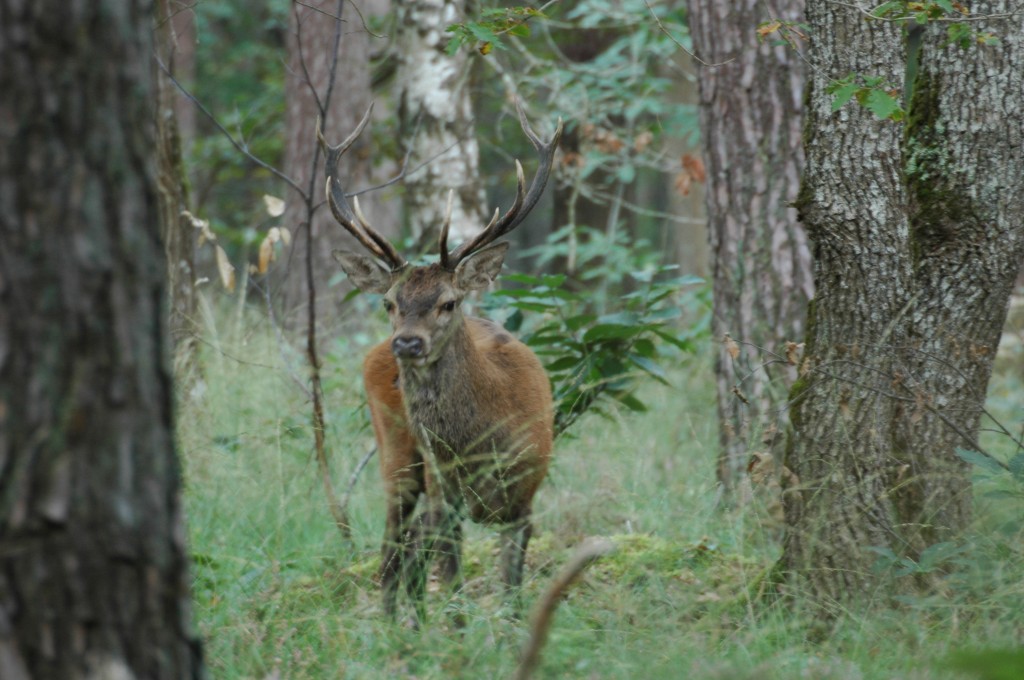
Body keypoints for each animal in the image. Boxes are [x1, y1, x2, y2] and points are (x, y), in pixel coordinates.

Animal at [318, 102, 563, 623]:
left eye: (449, 302)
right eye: (389, 302)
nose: (407, 344)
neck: (485, 443)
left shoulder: (528, 492)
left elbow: (512, 591)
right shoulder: (446, 493)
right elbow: (452, 586)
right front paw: (455, 633)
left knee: (409, 554)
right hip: (398, 456)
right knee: (392, 551)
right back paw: (395, 625)